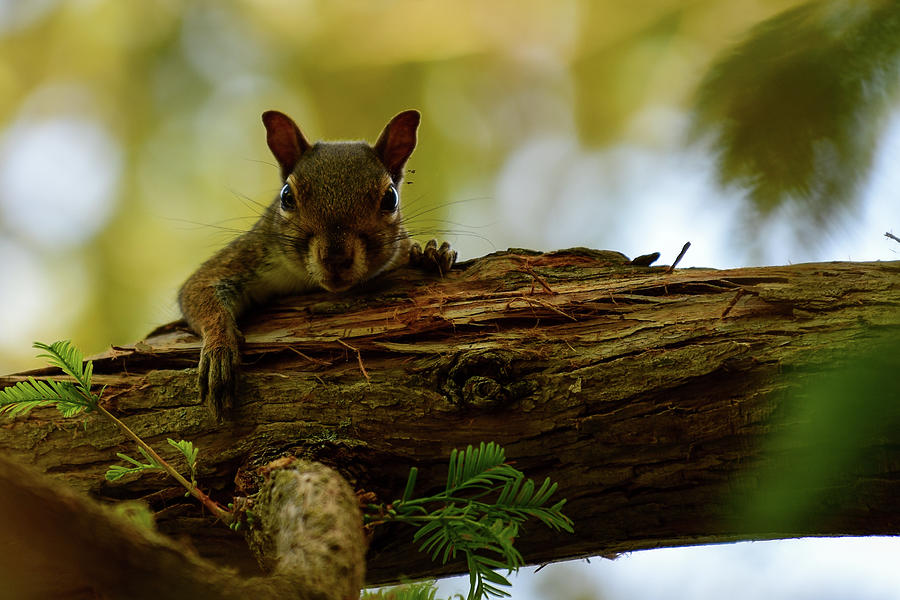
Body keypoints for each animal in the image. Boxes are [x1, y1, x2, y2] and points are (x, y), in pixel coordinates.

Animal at [178, 109, 457, 421]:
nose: (335, 258)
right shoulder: (251, 254)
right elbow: (200, 289)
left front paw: (432, 253)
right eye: (286, 196)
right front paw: (219, 351)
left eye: (390, 198)